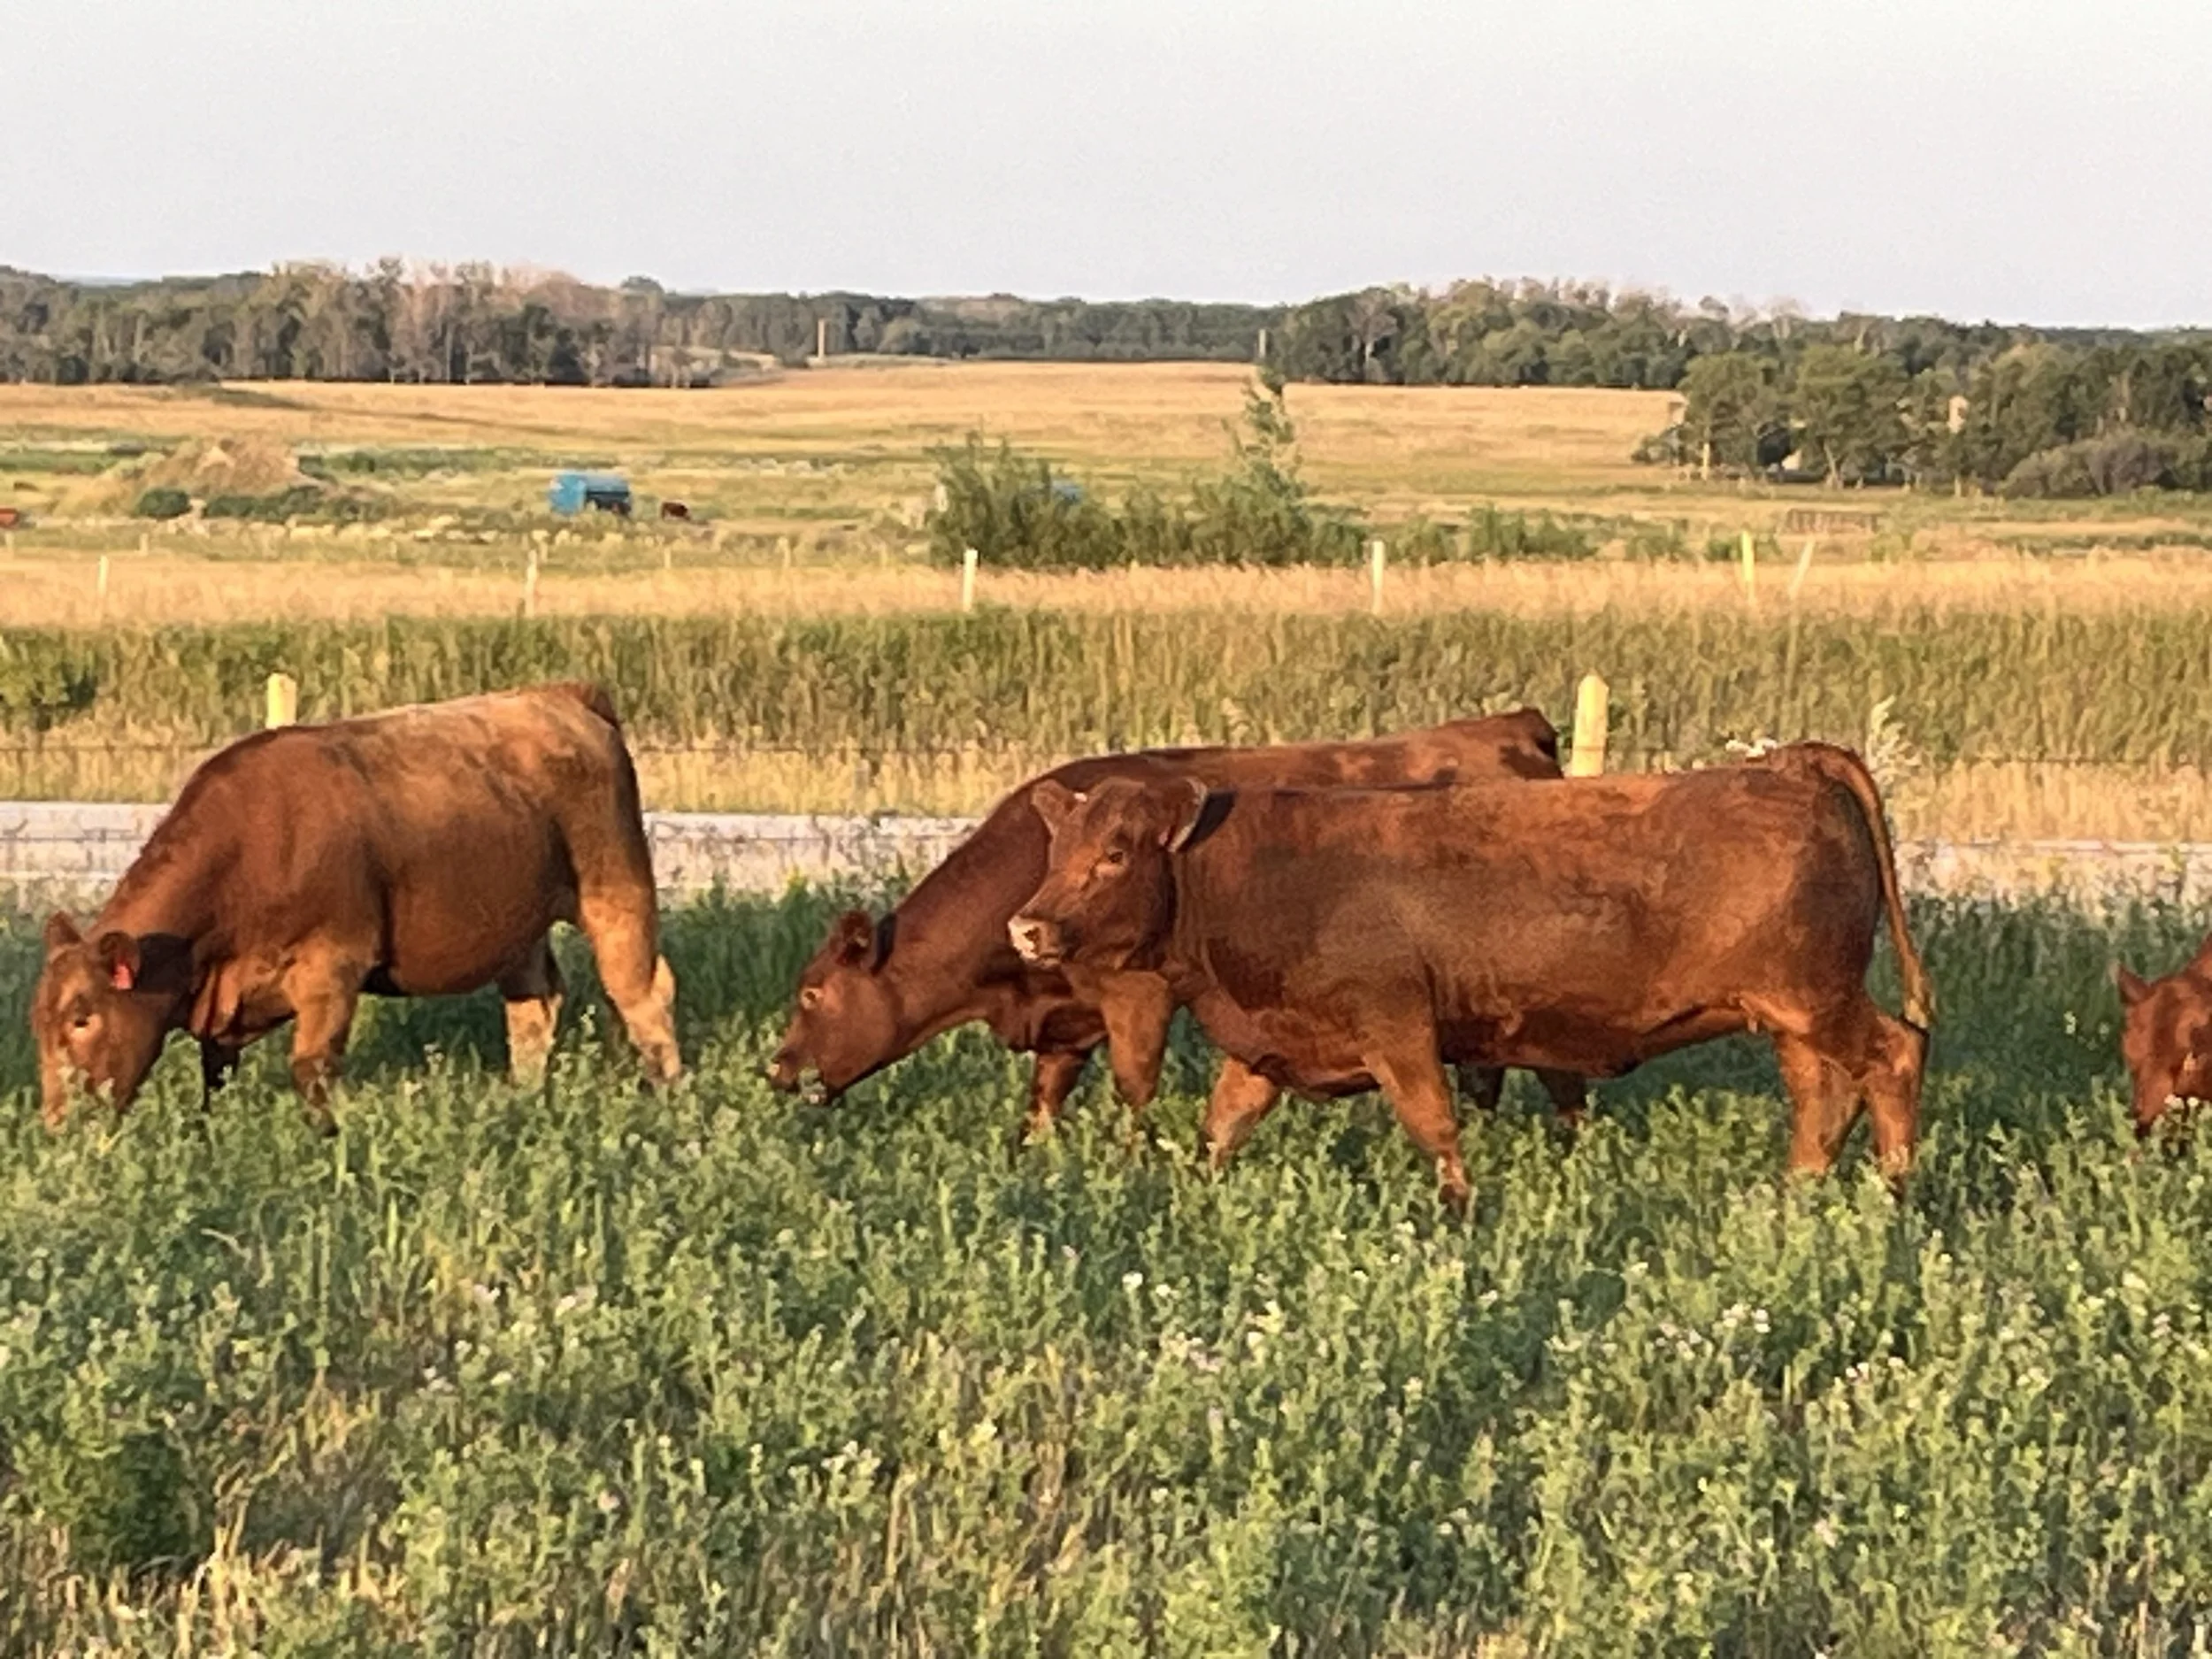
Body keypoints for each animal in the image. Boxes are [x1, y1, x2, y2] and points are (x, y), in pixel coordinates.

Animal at [31, 682, 682, 1129]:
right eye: (38, 1022)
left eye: (82, 1018)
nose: (59, 1124)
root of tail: (562, 696)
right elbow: (216, 1073)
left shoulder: (332, 969)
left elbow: (312, 1068)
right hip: (517, 927)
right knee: (534, 1008)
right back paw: (518, 1098)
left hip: (616, 891)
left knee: (642, 995)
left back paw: (667, 1100)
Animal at [766, 712, 1587, 1137]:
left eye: (812, 994)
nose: (775, 1067)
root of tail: (1513, 728)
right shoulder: (1066, 1020)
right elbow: (1045, 1097)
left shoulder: (1138, 998)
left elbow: (1135, 1088)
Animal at [1007, 742, 1934, 1214]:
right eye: (1058, 849)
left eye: (1114, 853)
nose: (1027, 925)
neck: (1250, 871)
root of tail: (1793, 765)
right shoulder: (1267, 1043)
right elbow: (1221, 1126)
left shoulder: (1398, 1028)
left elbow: (1434, 1123)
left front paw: (1458, 1210)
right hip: (1790, 1015)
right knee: (1823, 1097)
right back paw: (1796, 1195)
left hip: (1815, 999)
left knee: (1892, 1058)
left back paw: (1893, 1191)